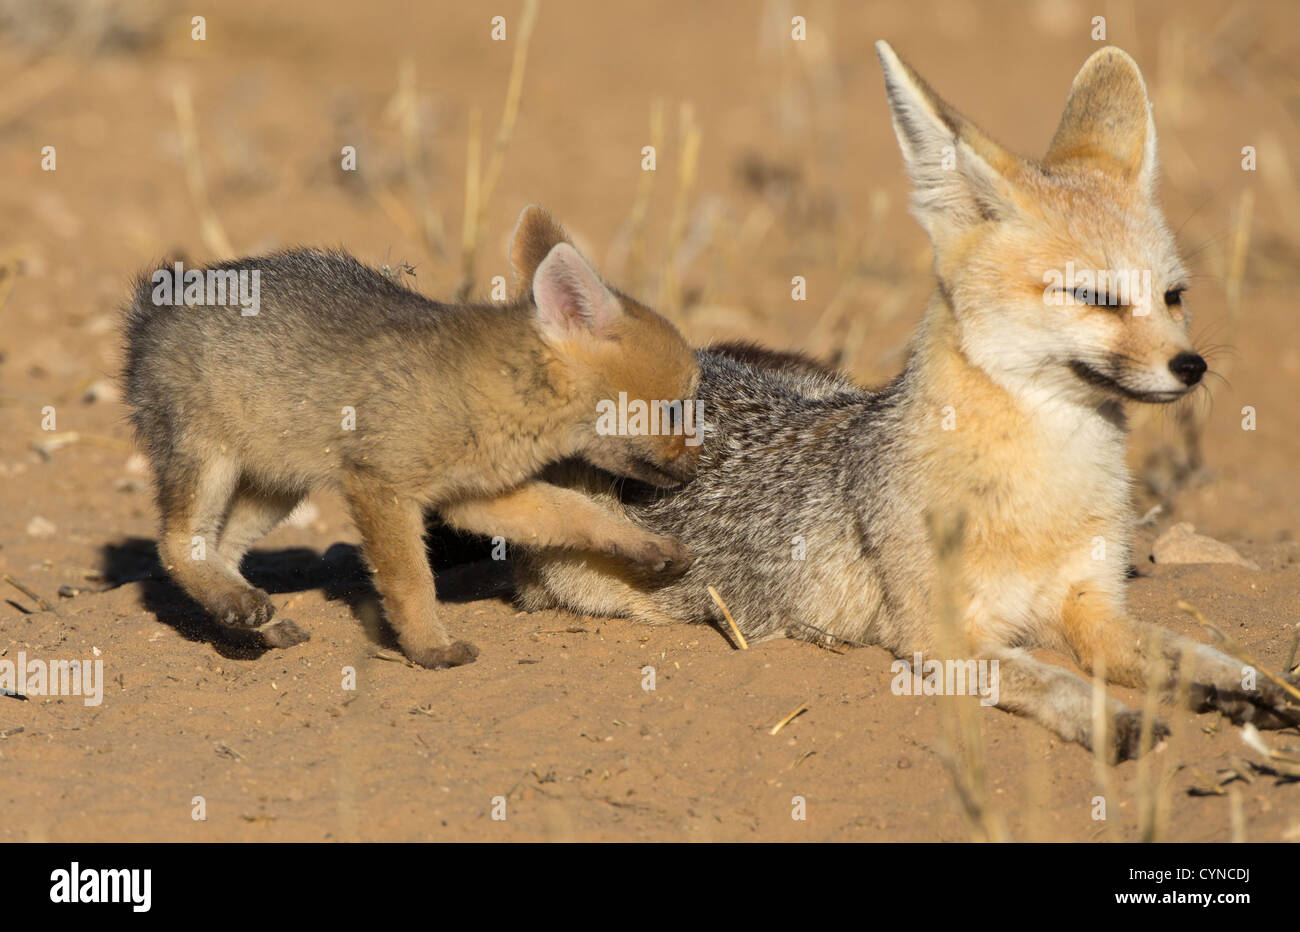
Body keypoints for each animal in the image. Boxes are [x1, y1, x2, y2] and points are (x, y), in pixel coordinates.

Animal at [123, 205, 700, 669]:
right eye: (676, 409)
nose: (696, 468)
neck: (502, 391)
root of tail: (154, 308)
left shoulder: (476, 498)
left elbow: (578, 511)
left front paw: (645, 544)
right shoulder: (382, 488)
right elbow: (412, 582)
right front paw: (430, 648)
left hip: (275, 488)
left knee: (219, 549)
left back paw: (255, 621)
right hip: (211, 465)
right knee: (175, 544)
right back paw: (238, 605)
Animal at [510, 44, 1300, 760]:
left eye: (1174, 297)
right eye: (1094, 297)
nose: (1191, 366)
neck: (1044, 497)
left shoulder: (1093, 605)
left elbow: (1179, 649)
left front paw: (1245, 682)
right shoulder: (943, 637)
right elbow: (1050, 678)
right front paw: (1115, 719)